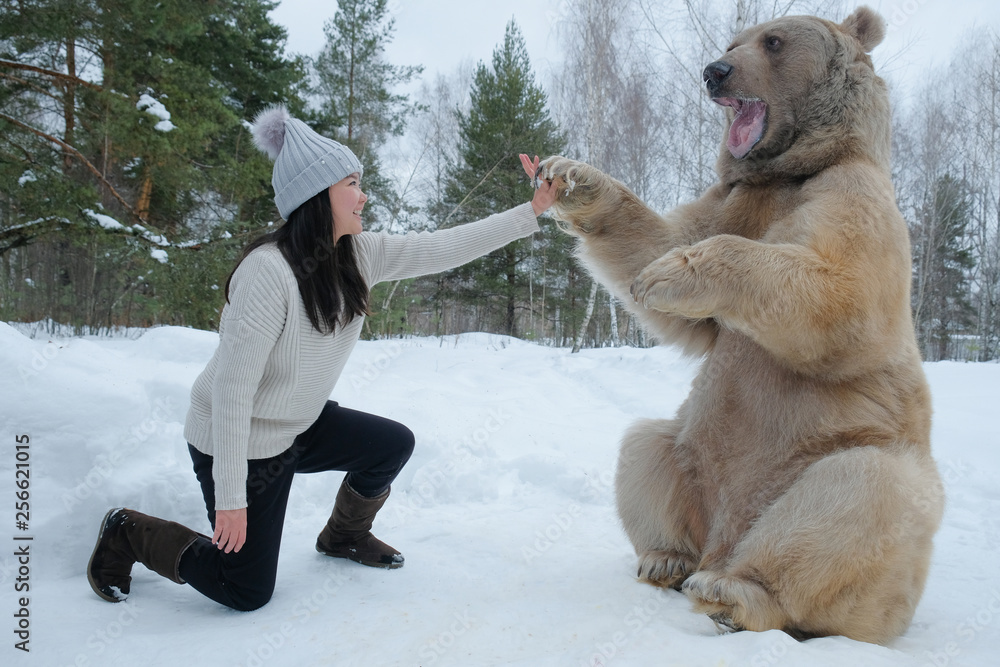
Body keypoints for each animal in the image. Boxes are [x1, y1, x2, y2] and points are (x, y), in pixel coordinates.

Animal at [538, 6, 943, 644]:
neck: (790, 169)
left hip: (837, 483)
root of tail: (724, 540)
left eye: (773, 41)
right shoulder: (737, 198)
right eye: (732, 41)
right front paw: (575, 179)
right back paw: (667, 558)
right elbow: (664, 243)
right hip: (693, 464)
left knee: (861, 492)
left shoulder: (852, 194)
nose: (714, 71)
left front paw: (674, 273)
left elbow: (845, 294)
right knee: (644, 447)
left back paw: (736, 594)